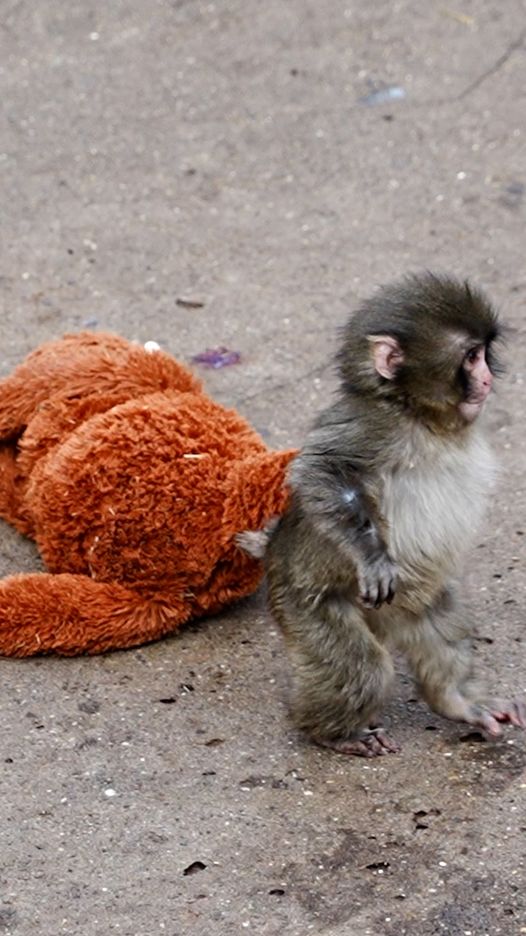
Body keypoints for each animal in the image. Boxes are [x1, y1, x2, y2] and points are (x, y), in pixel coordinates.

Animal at [263, 272, 526, 757]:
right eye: (471, 356)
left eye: (485, 353)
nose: (486, 379)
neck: (419, 414)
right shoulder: (371, 427)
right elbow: (322, 470)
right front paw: (373, 557)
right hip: (300, 600)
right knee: (361, 664)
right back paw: (331, 733)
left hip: (414, 602)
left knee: (440, 620)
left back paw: (459, 701)